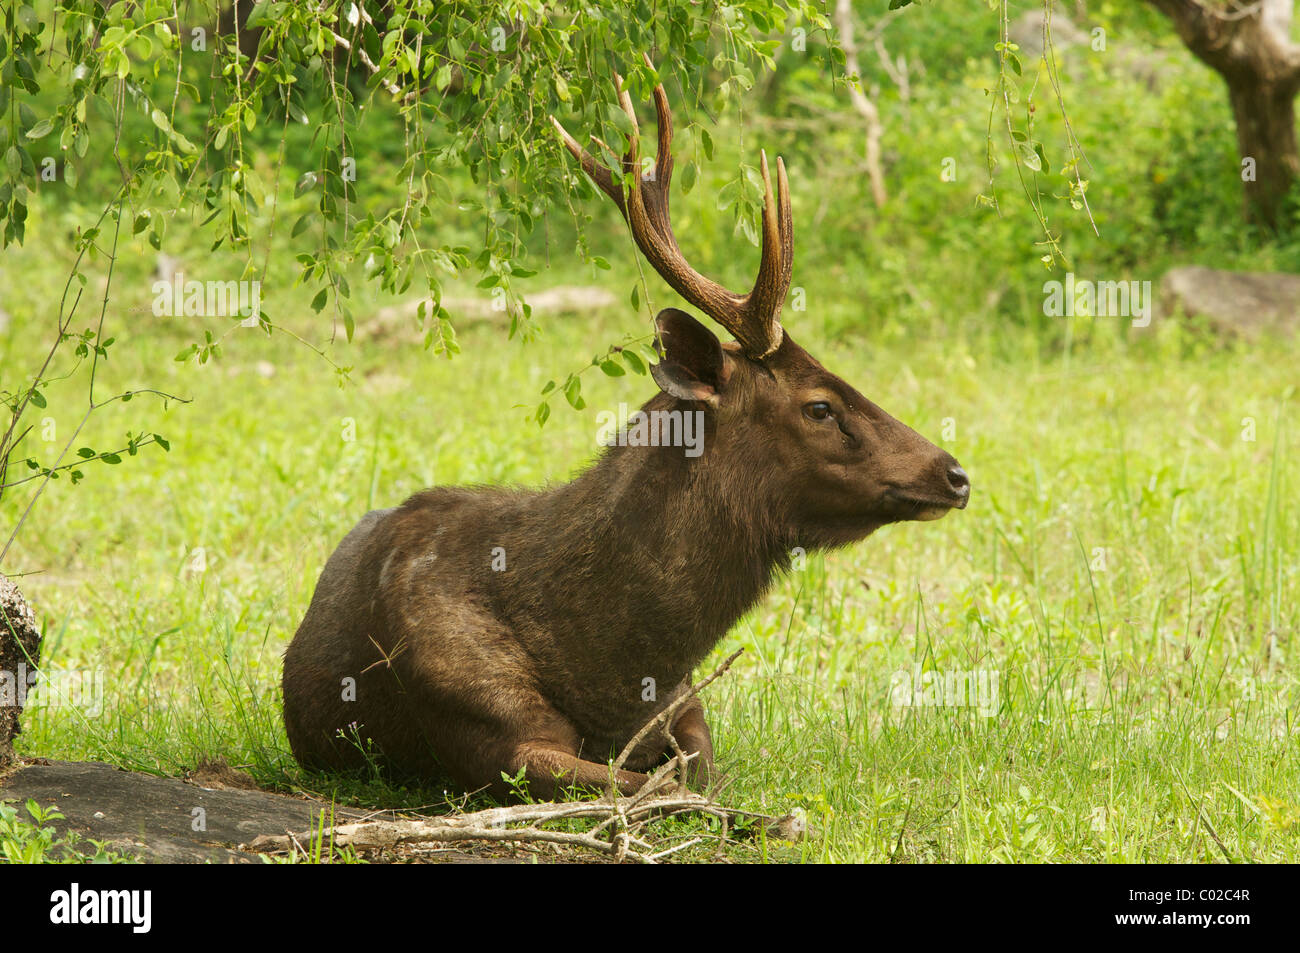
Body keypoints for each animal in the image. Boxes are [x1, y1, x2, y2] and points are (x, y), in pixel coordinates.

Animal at [282, 63, 970, 801]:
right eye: (819, 406)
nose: (955, 474)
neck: (610, 667)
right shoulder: (490, 735)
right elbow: (655, 786)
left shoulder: (685, 699)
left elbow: (699, 770)